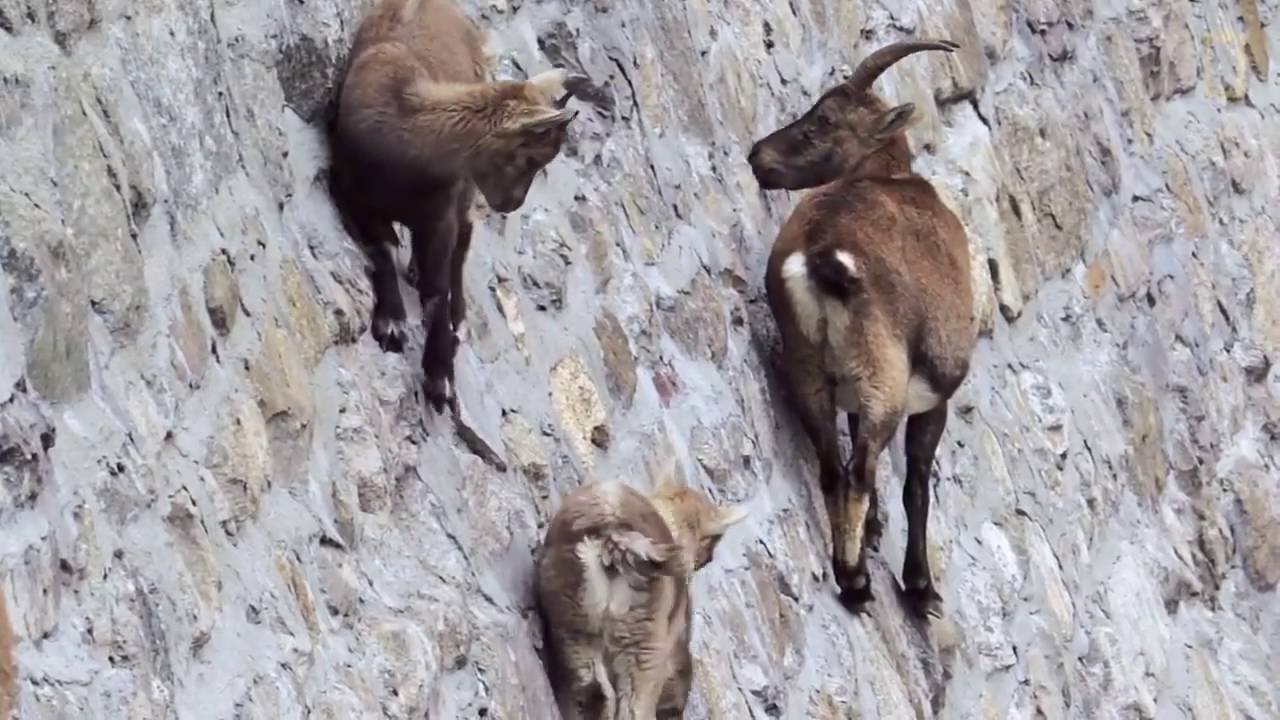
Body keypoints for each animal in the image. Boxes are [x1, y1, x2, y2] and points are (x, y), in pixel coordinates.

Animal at [328, 0, 581, 413]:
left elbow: (439, 289)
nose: (512, 204)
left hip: (463, 198)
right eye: (532, 157)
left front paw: (440, 375)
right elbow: (383, 247)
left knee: (463, 247)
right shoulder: (350, 189)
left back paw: (457, 317)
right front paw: (392, 322)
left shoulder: (441, 217)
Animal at [535, 478, 751, 720]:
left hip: (574, 630)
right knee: (631, 707)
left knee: (590, 691)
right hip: (641, 649)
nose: (708, 559)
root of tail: (614, 531)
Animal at [745, 40, 977, 619]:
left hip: (808, 362)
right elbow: (916, 483)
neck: (885, 176)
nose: (759, 157)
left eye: (824, 118)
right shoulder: (931, 398)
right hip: (883, 376)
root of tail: (825, 255)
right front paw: (921, 587)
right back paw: (855, 582)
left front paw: (871, 532)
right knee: (860, 469)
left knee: (833, 464)